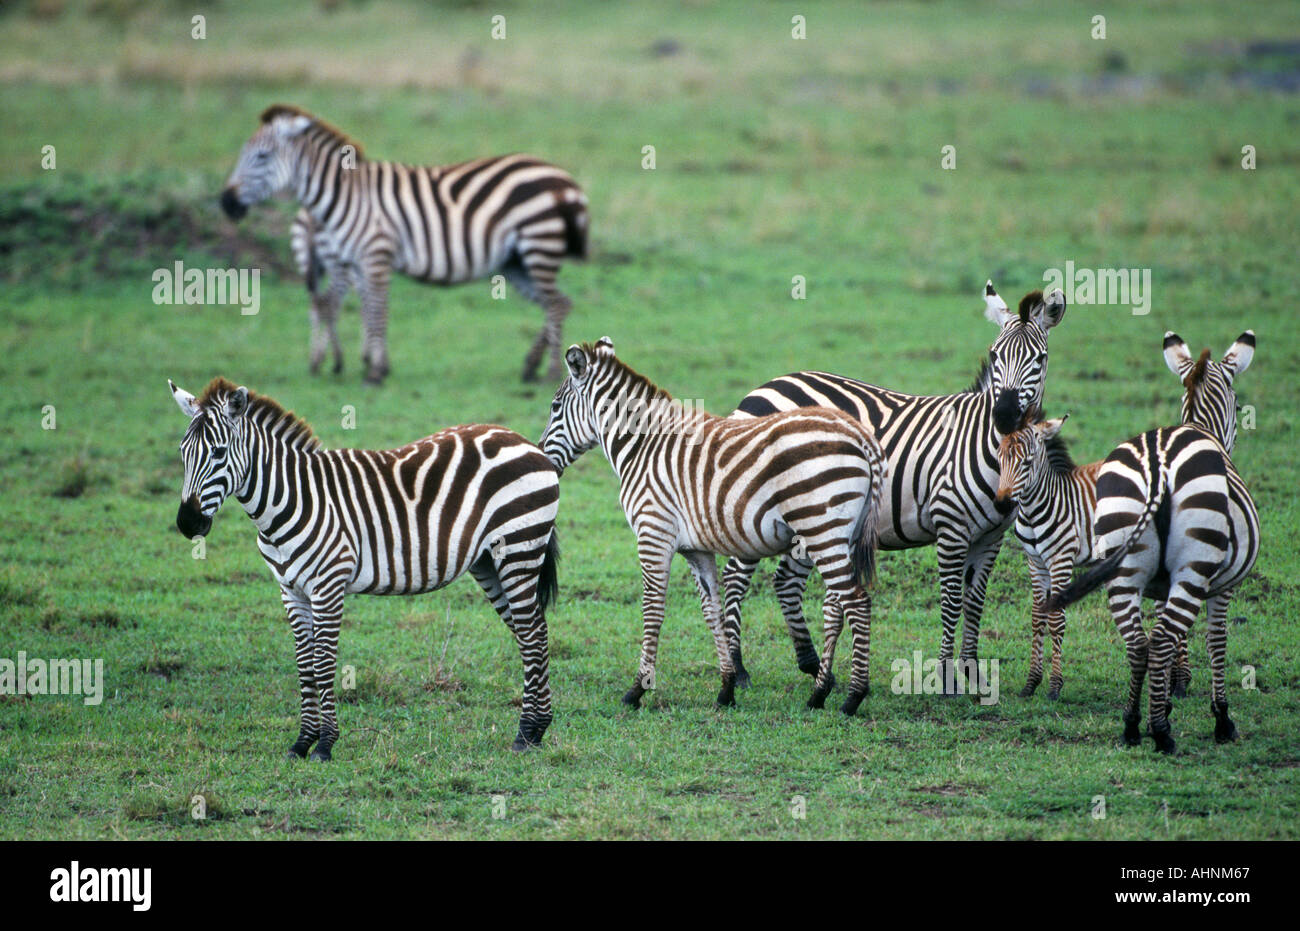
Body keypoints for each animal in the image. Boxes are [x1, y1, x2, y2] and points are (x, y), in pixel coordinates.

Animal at [168, 376, 561, 758]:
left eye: (219, 453)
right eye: (182, 453)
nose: (187, 523)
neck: (290, 500)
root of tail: (521, 439)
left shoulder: (328, 585)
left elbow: (324, 663)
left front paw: (325, 744)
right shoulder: (290, 590)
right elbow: (304, 665)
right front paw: (302, 741)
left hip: (518, 549)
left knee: (531, 633)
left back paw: (526, 733)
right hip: (488, 562)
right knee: (533, 631)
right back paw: (537, 730)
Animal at [222, 104, 589, 384]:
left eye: (262, 156)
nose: (226, 203)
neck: (345, 196)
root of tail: (564, 178)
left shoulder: (376, 255)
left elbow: (377, 310)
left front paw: (375, 372)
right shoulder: (358, 262)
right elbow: (369, 310)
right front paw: (372, 365)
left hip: (538, 241)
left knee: (555, 304)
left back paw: (551, 372)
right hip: (515, 261)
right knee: (558, 302)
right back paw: (531, 366)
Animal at [539, 337, 886, 713]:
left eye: (555, 407)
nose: (543, 456)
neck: (642, 448)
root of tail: (860, 437)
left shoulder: (652, 533)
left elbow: (653, 609)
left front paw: (637, 689)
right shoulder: (695, 548)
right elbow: (712, 612)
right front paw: (727, 688)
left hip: (822, 528)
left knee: (857, 603)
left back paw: (853, 697)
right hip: (840, 535)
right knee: (838, 606)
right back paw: (819, 693)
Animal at [722, 283, 1066, 695]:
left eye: (1040, 359)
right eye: (996, 355)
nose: (1004, 416)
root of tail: (764, 387)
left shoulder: (991, 536)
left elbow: (975, 600)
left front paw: (971, 671)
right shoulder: (951, 525)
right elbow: (951, 601)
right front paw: (945, 677)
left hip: (811, 513)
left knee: (786, 580)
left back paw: (812, 665)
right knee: (735, 577)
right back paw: (739, 668)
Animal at [1048, 331, 1258, 753]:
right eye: (1238, 401)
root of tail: (1160, 464)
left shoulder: (1162, 585)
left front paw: (1165, 698)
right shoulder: (1221, 585)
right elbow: (1216, 640)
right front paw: (1221, 719)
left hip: (1122, 564)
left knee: (1138, 643)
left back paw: (1132, 726)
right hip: (1193, 566)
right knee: (1158, 641)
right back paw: (1161, 734)